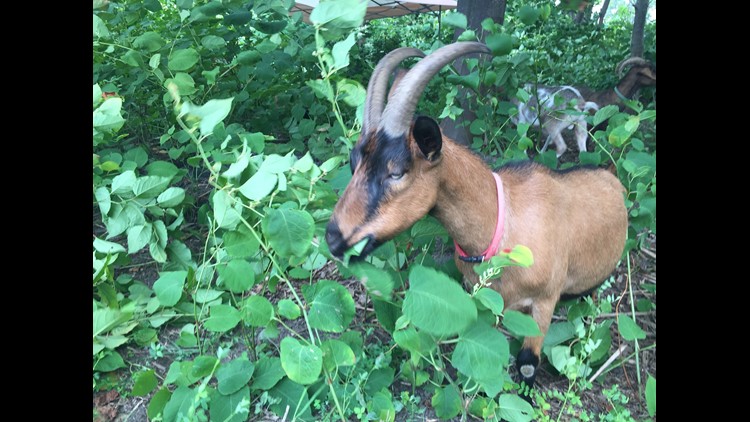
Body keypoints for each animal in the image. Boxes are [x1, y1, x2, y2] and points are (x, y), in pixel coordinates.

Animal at [325, 42, 628, 402]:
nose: (333, 237)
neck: (502, 223)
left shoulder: (544, 301)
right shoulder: (488, 299)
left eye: (396, 171)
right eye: (353, 161)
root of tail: (611, 177)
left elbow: (527, 364)